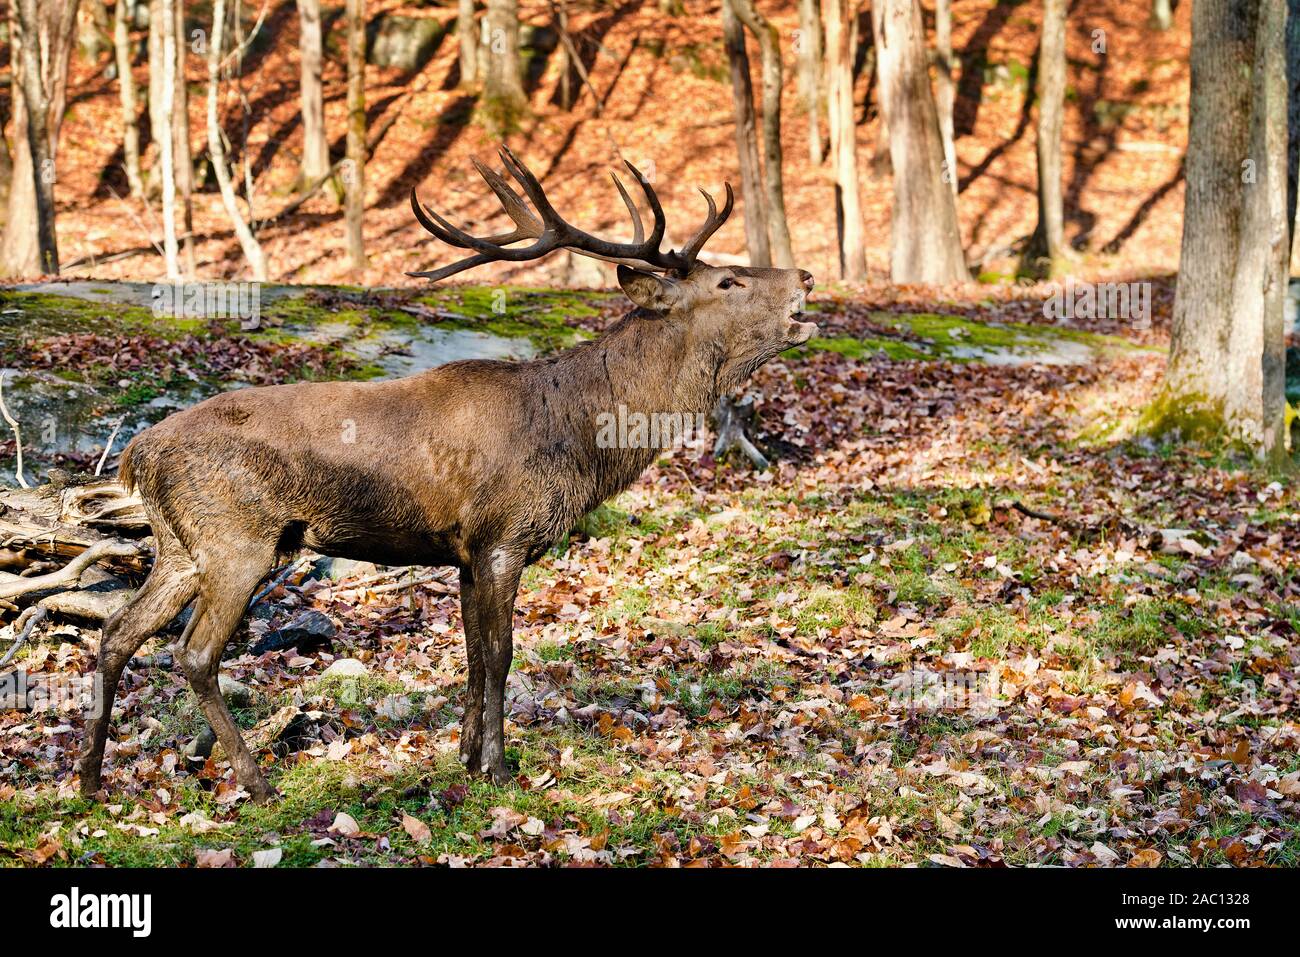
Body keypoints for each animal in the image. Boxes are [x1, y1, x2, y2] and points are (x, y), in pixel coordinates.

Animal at [77, 146, 816, 801]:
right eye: (728, 281)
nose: (806, 277)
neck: (580, 439)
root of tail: (138, 452)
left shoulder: (462, 551)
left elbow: (470, 652)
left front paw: (464, 757)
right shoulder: (503, 535)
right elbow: (502, 651)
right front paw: (499, 767)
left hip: (181, 546)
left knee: (116, 632)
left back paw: (88, 781)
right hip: (237, 539)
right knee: (193, 653)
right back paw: (256, 783)